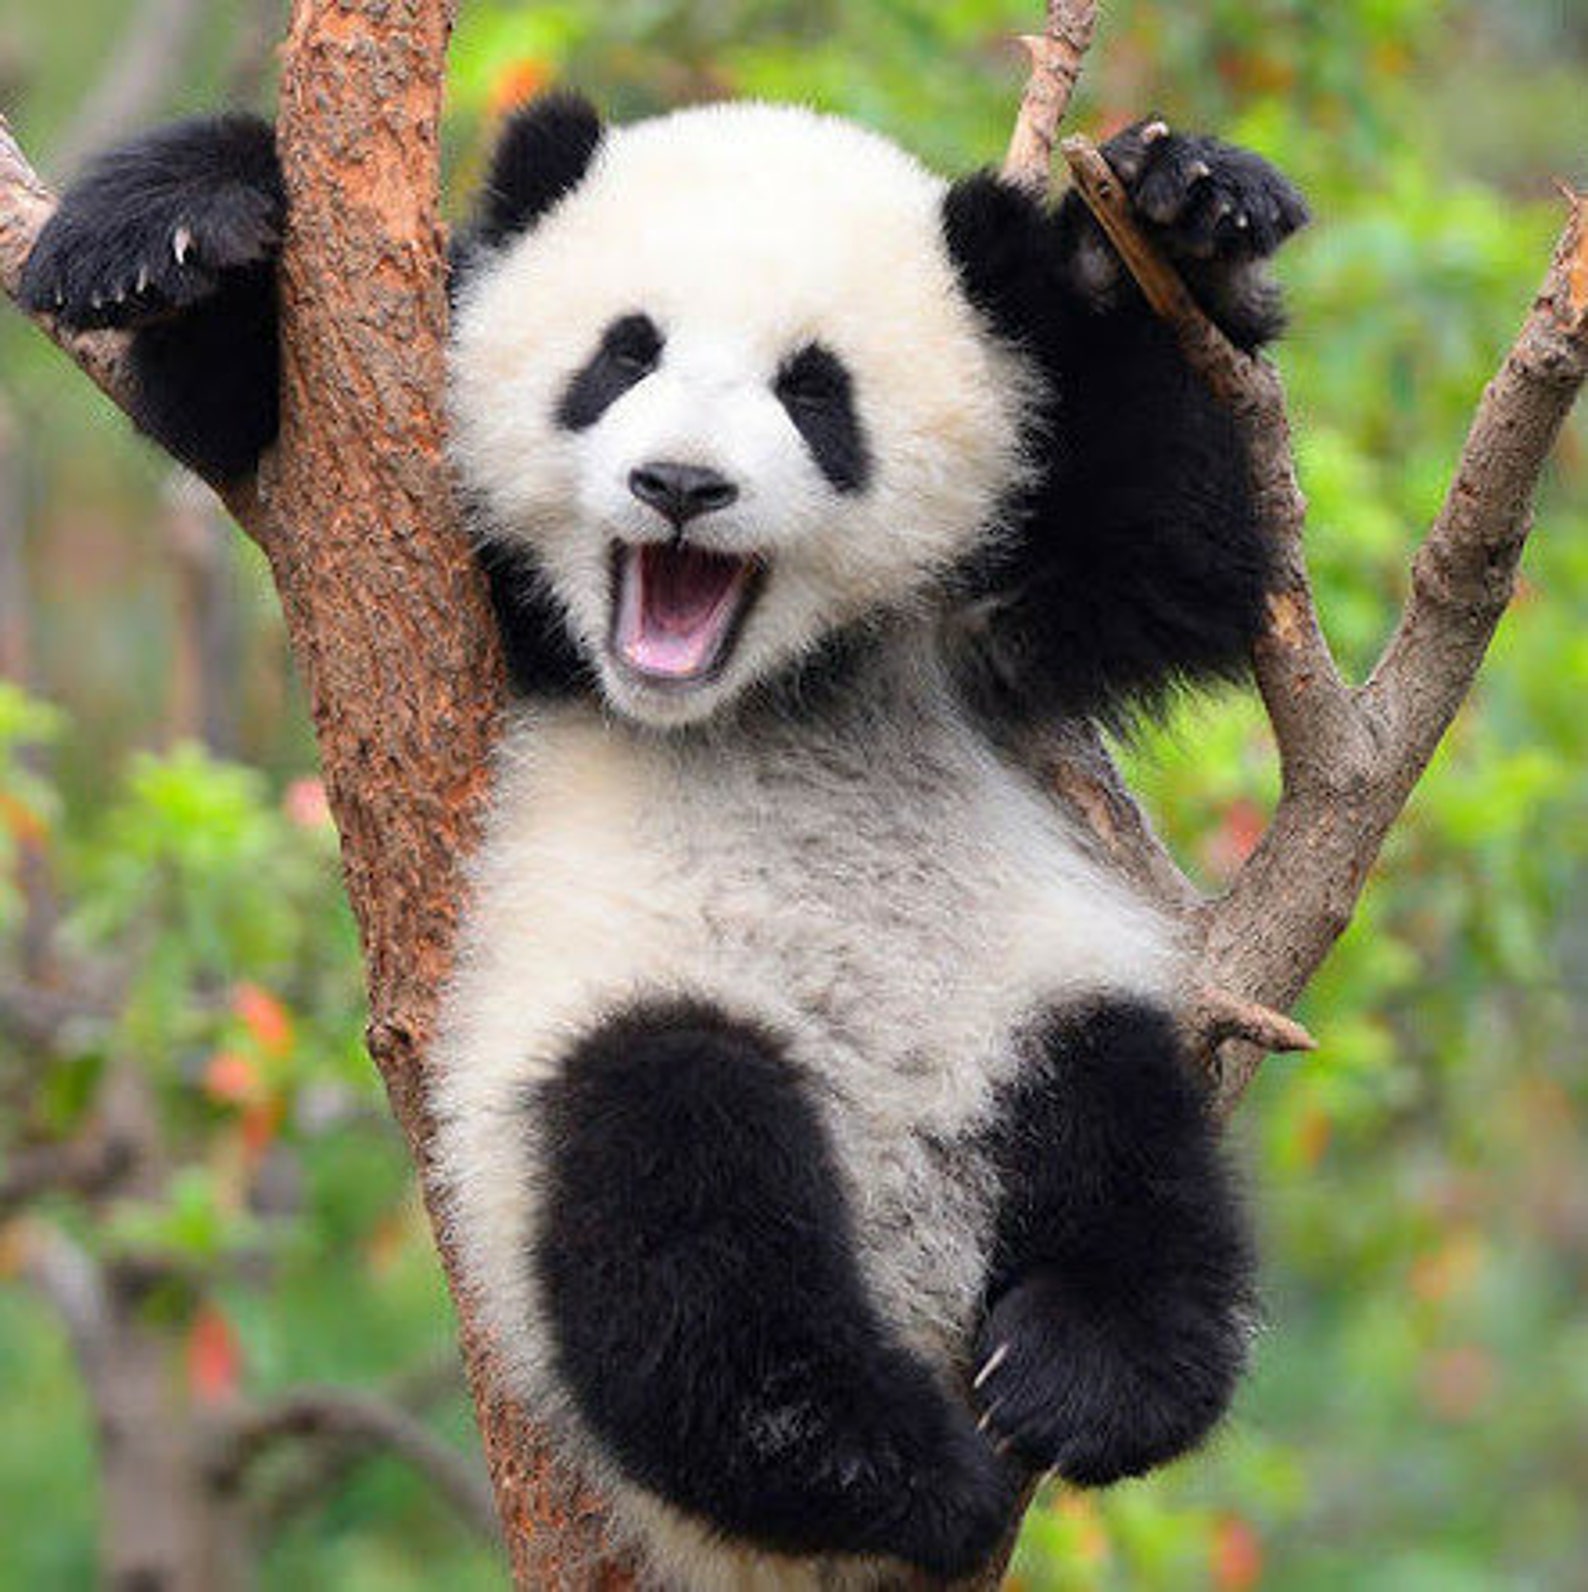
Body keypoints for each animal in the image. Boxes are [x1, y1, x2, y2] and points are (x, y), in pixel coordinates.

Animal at [22, 93, 1307, 1588]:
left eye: (816, 392)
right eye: (621, 355)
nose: (681, 484)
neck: (744, 693)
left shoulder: (986, 616)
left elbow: (1179, 550)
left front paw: (1179, 210)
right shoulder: (469, 578)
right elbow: (267, 419)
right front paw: (168, 231)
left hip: (1023, 999)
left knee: (1128, 1142)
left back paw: (1073, 1375)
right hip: (606, 1030)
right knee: (677, 1199)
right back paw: (884, 1464)